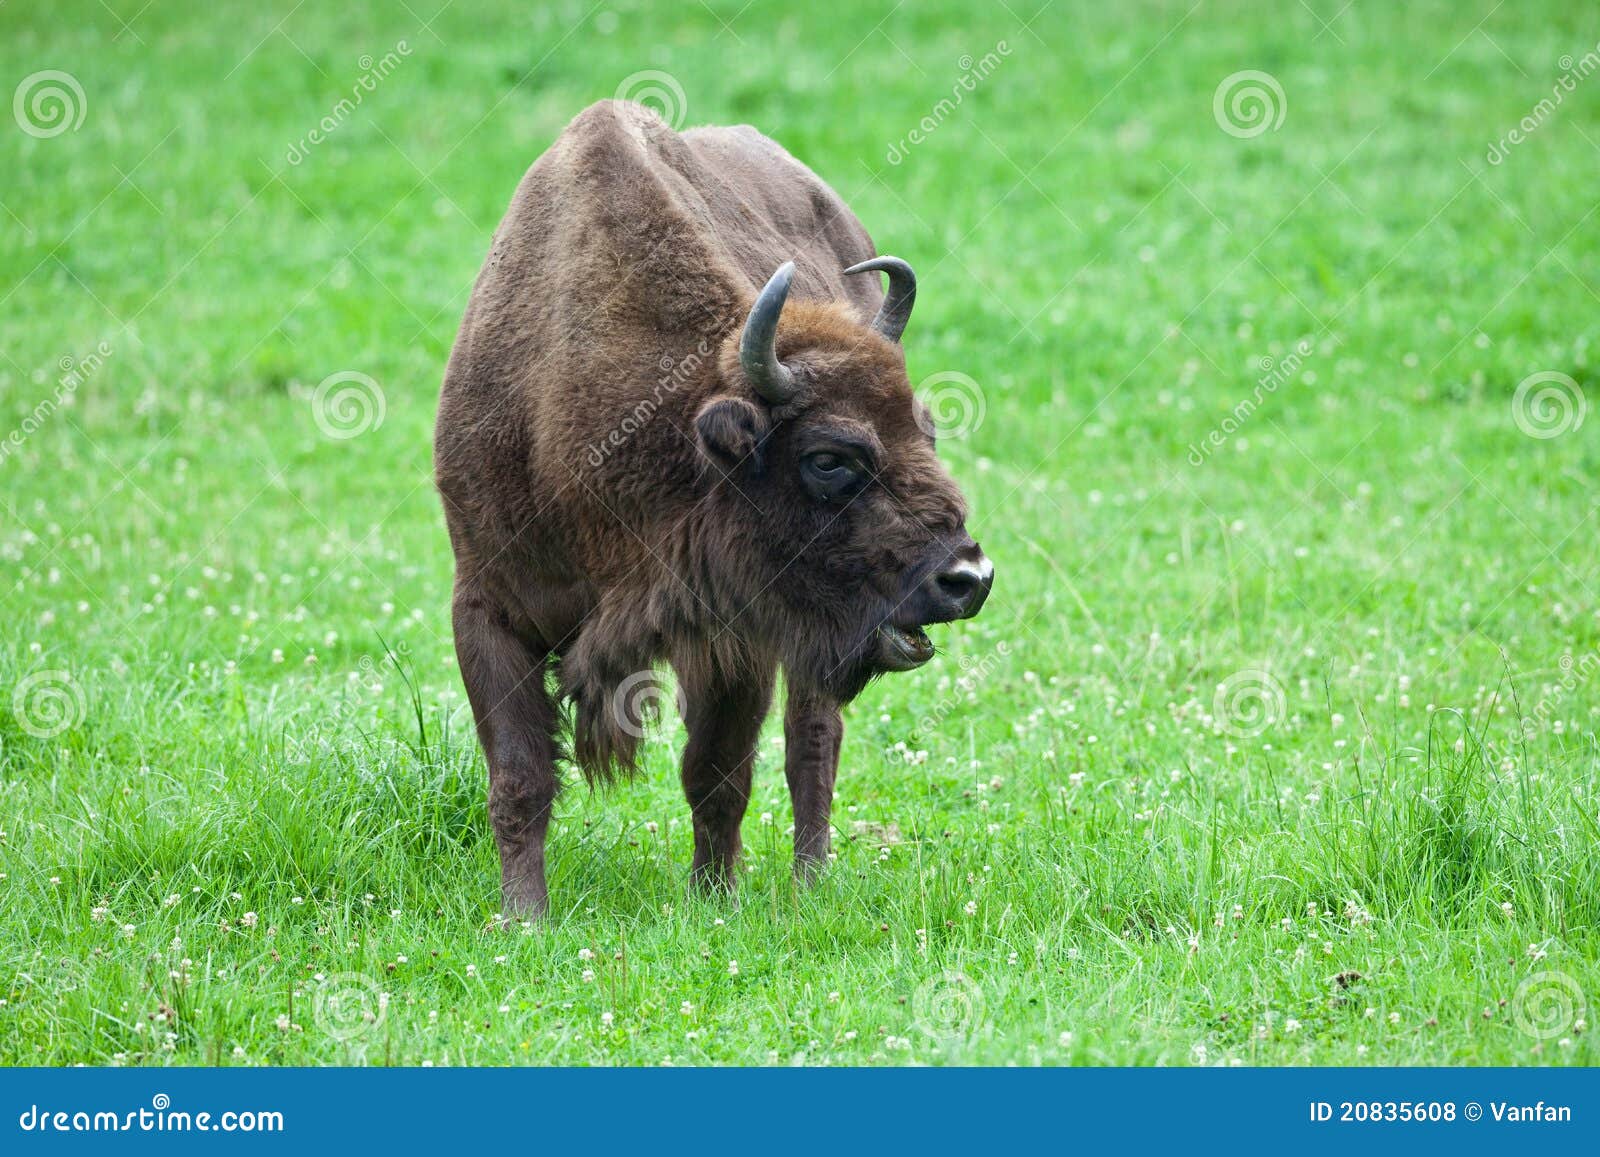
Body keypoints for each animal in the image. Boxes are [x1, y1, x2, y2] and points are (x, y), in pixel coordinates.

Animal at [435, 100, 992, 915]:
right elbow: (520, 777)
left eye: (924, 430)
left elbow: (717, 772)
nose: (968, 578)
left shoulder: (734, 637)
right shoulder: (486, 607)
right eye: (830, 458)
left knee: (811, 744)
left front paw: (713, 900)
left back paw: (809, 881)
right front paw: (523, 917)